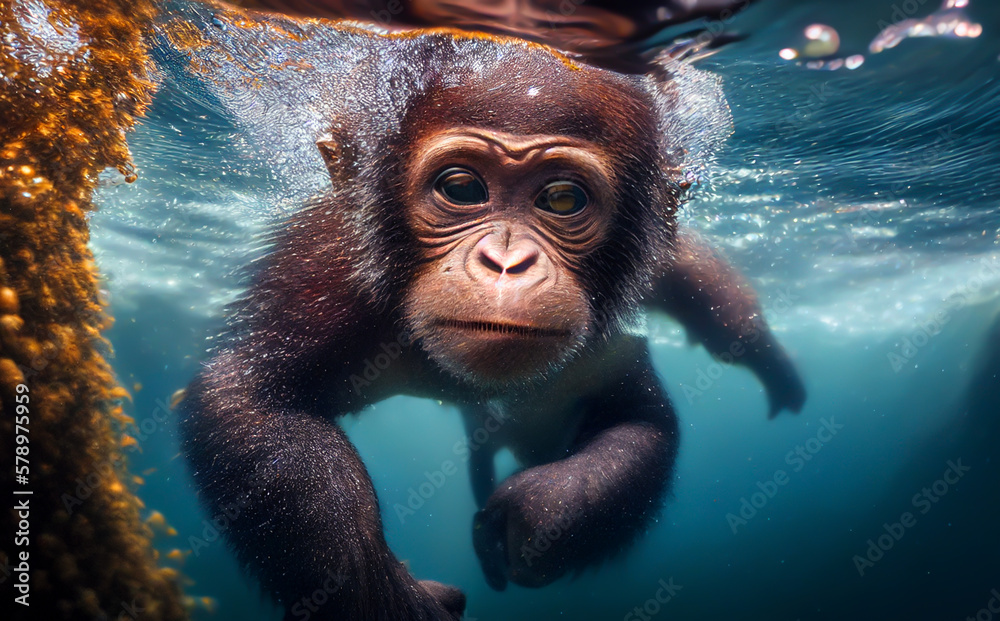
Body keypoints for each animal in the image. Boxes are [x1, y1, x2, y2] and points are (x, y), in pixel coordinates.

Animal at [170, 8, 805, 620]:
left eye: (562, 199)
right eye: (461, 189)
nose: (506, 262)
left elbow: (640, 420)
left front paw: (537, 514)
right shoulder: (328, 272)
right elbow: (256, 395)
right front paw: (394, 600)